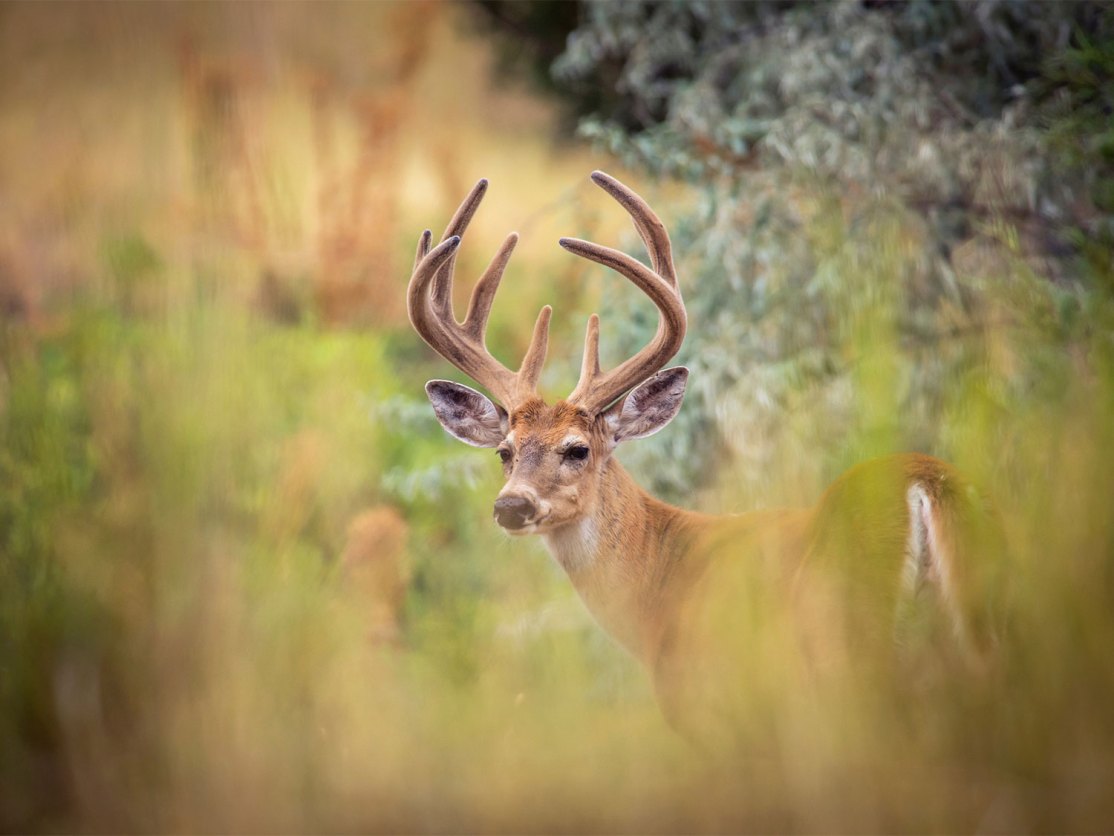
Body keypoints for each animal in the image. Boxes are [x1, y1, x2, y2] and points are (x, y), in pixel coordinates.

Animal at [407, 171, 1004, 741]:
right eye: (504, 452)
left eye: (577, 449)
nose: (512, 506)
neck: (662, 582)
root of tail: (925, 485)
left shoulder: (714, 709)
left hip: (849, 656)